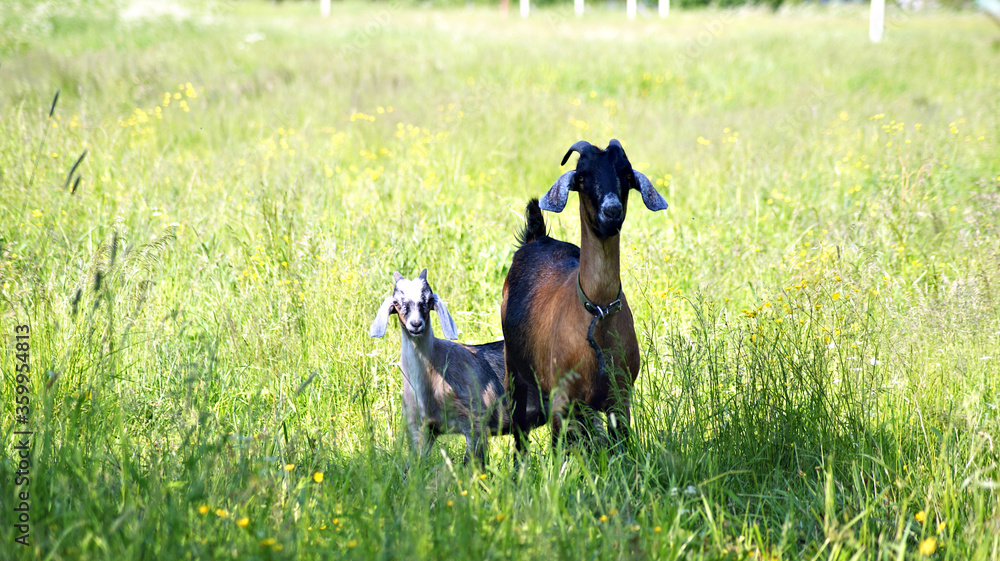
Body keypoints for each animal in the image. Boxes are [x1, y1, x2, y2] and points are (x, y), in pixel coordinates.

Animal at [501, 139, 668, 452]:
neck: (597, 312)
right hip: (514, 371)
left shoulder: (620, 399)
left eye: (627, 174)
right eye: (581, 176)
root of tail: (537, 238)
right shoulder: (561, 399)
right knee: (520, 435)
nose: (612, 211)